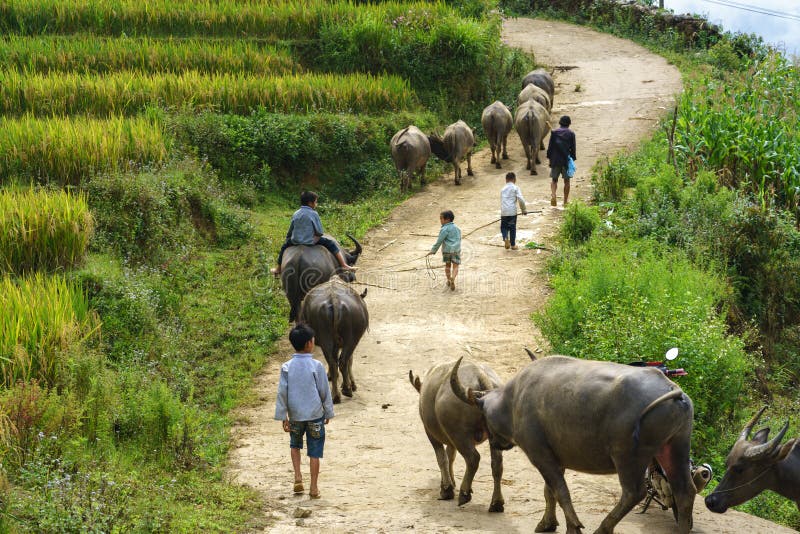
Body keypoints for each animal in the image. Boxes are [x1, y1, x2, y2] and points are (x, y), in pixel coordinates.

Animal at [446, 356, 696, 534]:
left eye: (484, 417)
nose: (496, 443)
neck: (514, 400)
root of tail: (675, 392)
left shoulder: (540, 455)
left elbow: (560, 490)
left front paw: (573, 526)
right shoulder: (557, 457)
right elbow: (549, 491)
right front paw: (547, 523)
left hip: (628, 457)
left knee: (634, 492)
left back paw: (603, 529)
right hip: (675, 448)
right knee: (685, 491)